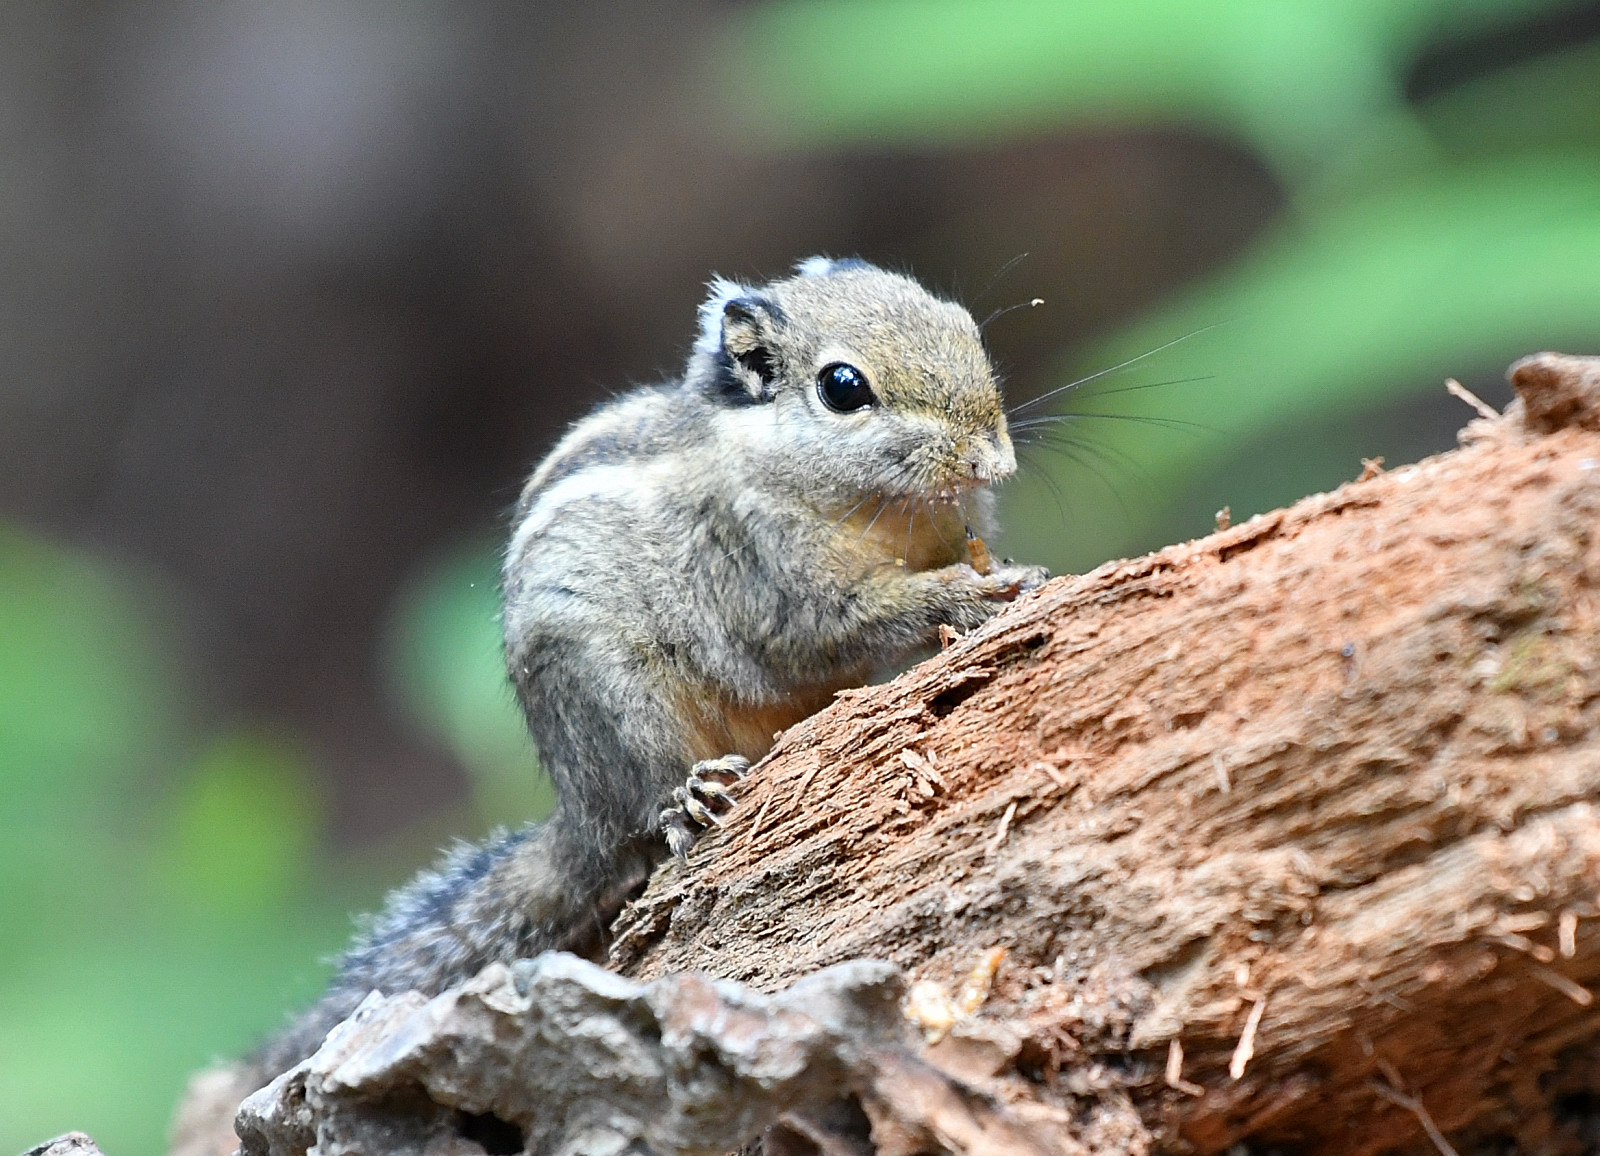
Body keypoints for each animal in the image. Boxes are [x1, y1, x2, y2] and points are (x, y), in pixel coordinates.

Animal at [171, 256, 1047, 1152]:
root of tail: (579, 810)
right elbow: (829, 631)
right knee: (645, 811)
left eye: (963, 323)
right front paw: (967, 594)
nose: (991, 462)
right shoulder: (764, 578)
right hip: (614, 700)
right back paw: (684, 798)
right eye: (843, 388)